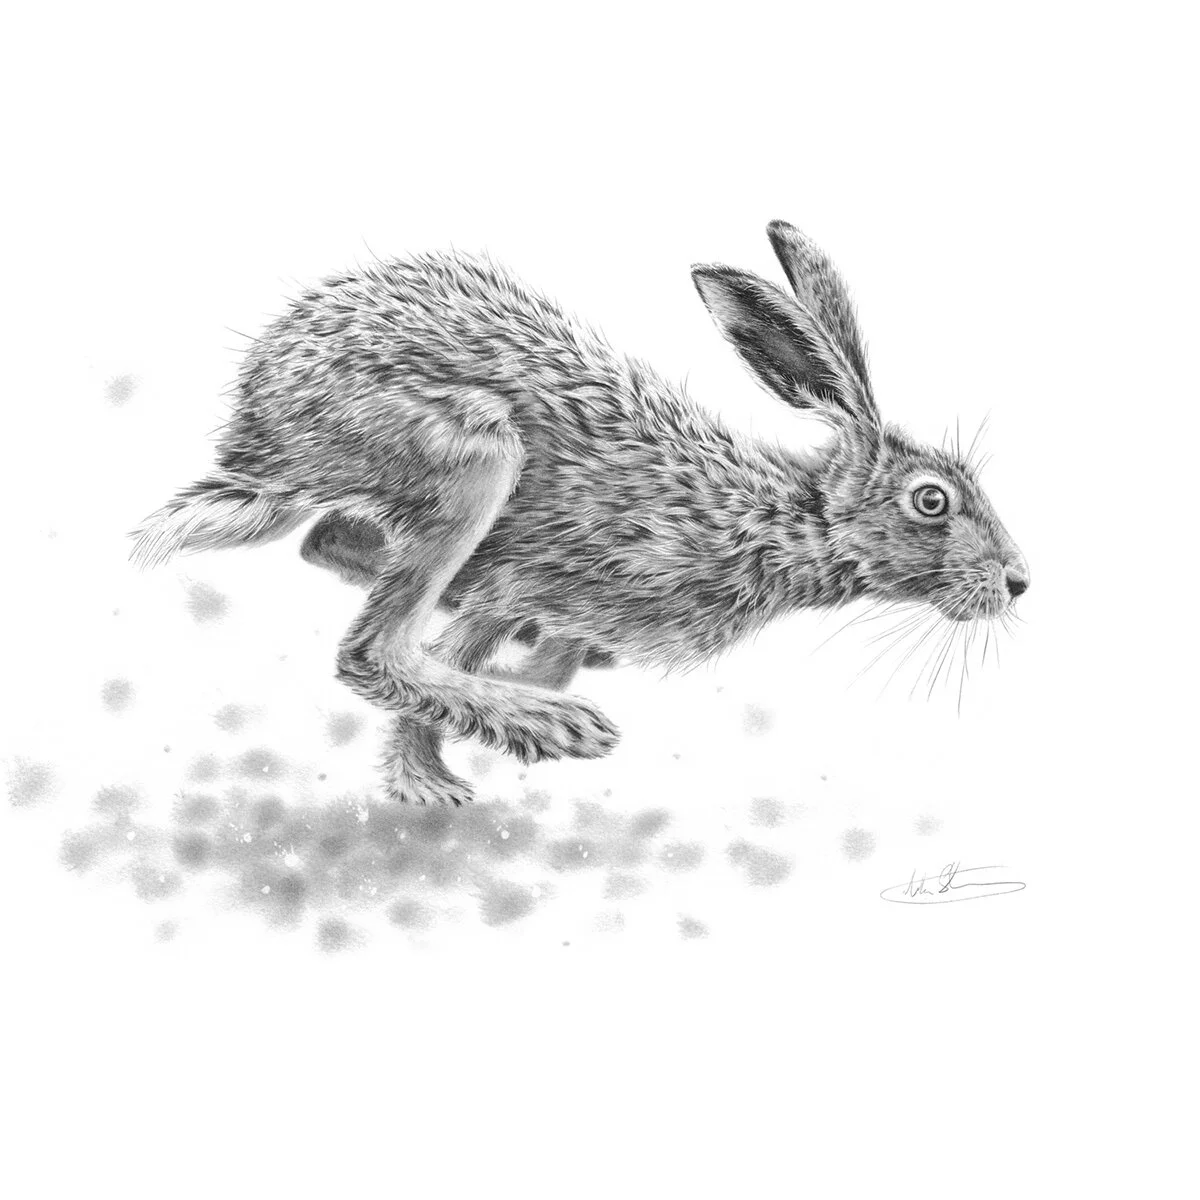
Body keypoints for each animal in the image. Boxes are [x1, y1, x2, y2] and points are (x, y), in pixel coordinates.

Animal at [131, 220, 1028, 806]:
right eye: (932, 500)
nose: (1018, 581)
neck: (772, 521)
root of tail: (259, 436)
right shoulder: (531, 580)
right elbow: (442, 663)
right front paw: (431, 784)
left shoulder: (560, 608)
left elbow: (523, 655)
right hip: (471, 458)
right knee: (370, 649)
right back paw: (557, 726)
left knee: (330, 542)